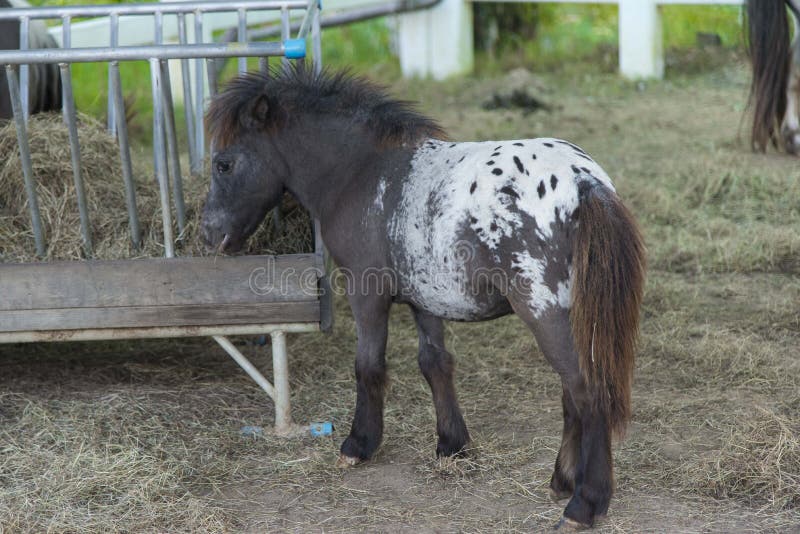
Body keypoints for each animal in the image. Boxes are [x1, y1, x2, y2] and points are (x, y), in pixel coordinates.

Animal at [201, 67, 646, 529]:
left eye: (224, 163)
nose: (210, 235)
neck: (359, 172)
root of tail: (584, 182)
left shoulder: (366, 292)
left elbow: (368, 366)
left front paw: (359, 443)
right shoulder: (426, 299)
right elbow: (435, 364)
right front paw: (452, 444)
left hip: (546, 315)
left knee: (587, 392)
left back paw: (585, 502)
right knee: (572, 395)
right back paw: (562, 479)